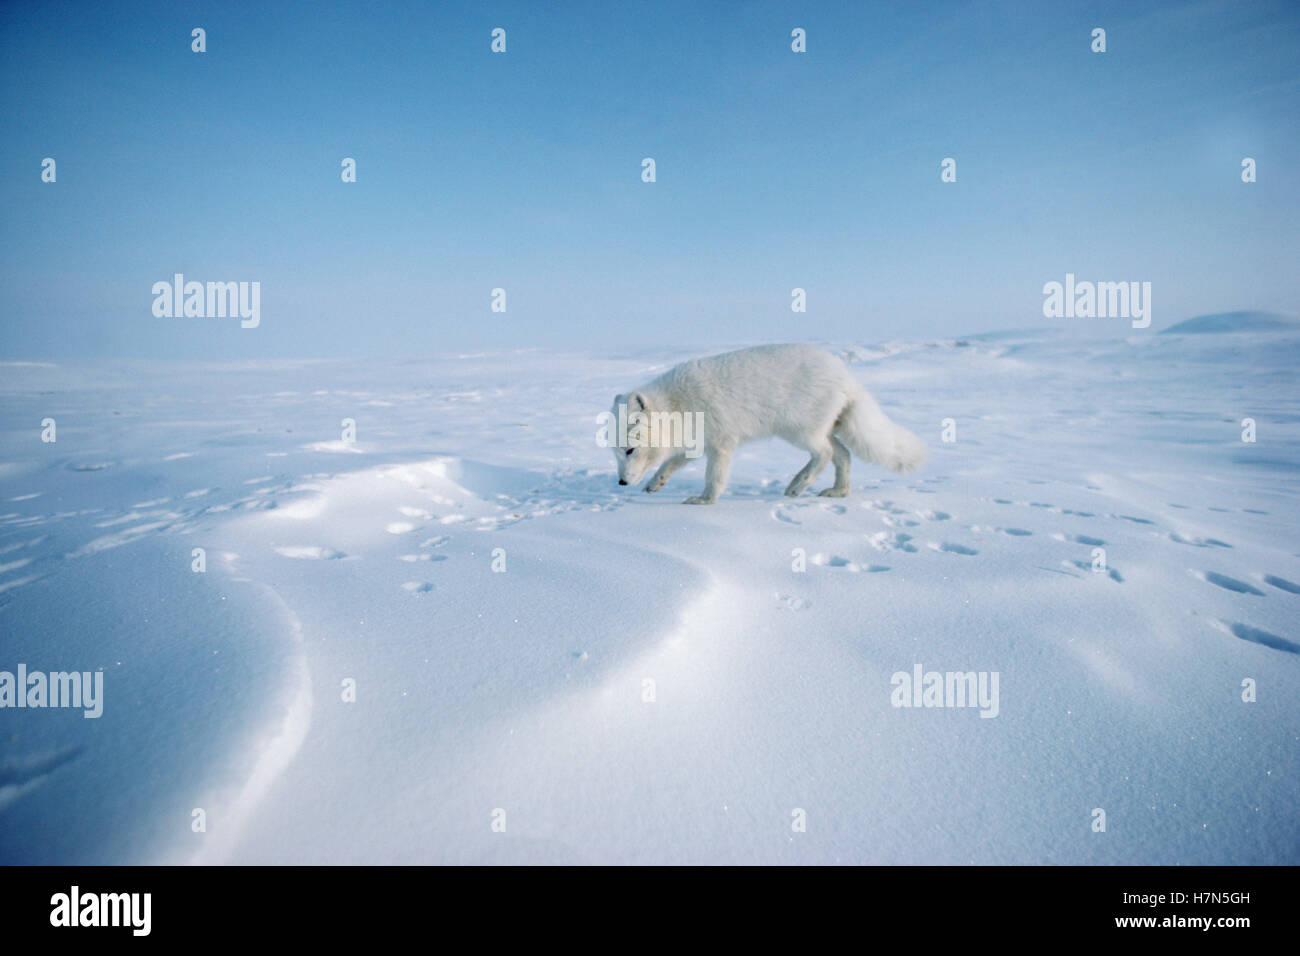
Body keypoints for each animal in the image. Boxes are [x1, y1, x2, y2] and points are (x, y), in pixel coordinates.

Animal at [610, 344, 927, 504]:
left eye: (630, 450)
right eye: (616, 454)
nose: (621, 482)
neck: (678, 405)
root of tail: (845, 375)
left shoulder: (722, 443)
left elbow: (715, 478)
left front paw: (705, 501)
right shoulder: (697, 443)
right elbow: (669, 464)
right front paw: (656, 483)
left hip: (798, 431)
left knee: (824, 454)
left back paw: (798, 486)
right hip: (818, 431)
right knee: (844, 455)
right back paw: (837, 491)